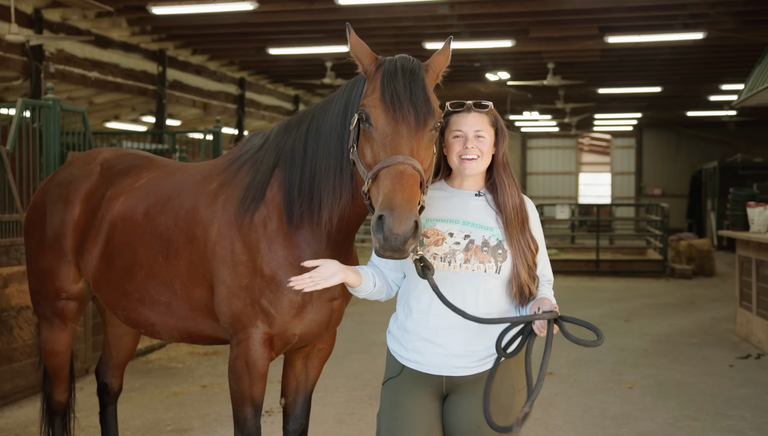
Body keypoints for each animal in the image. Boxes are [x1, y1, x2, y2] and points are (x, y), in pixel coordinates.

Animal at [24, 25, 452, 436]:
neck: (293, 225)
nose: (396, 232)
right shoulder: (248, 352)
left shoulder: (312, 349)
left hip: (121, 313)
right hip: (58, 314)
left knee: (108, 384)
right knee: (60, 400)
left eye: (436, 124)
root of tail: (64, 173)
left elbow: (296, 422)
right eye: (364, 118)